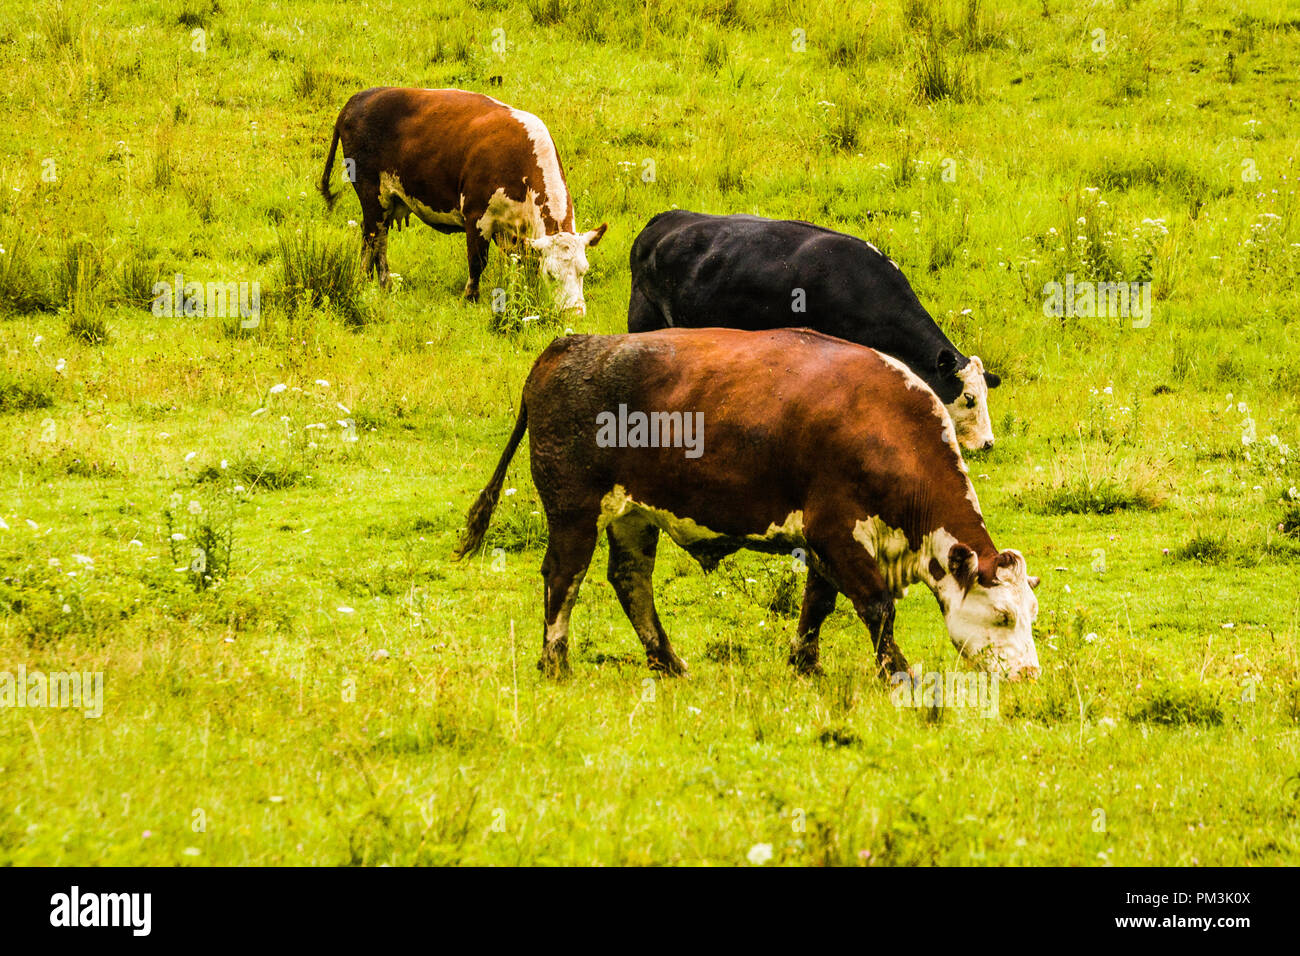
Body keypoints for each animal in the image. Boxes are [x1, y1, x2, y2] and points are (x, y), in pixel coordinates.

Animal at [320, 87, 607, 314]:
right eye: (552, 274)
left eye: (584, 270)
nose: (574, 314)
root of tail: (359, 98)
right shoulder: (477, 216)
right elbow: (477, 261)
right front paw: (470, 297)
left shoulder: (512, 231)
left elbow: (518, 264)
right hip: (371, 195)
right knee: (371, 238)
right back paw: (366, 281)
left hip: (388, 201)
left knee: (379, 239)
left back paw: (385, 282)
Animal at [456, 328, 1040, 682]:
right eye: (1004, 615)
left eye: (1032, 613)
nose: (1029, 674)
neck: (884, 426)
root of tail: (567, 346)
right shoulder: (837, 532)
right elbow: (877, 606)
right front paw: (898, 673)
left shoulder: (826, 542)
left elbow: (817, 604)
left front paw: (805, 664)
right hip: (574, 511)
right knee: (564, 577)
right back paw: (556, 662)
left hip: (634, 515)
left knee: (630, 581)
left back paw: (668, 661)